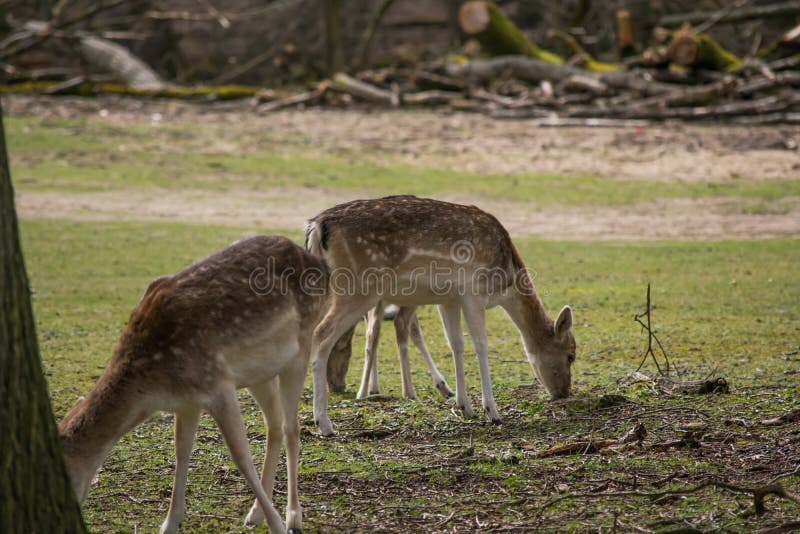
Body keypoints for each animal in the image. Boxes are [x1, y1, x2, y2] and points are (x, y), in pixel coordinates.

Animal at [58, 235, 330, 534]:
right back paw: (255, 513)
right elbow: (181, 451)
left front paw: (277, 525)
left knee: (292, 428)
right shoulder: (186, 401)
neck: (154, 386)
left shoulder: (217, 383)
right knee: (275, 426)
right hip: (260, 370)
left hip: (301, 346)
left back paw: (293, 517)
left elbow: (240, 455)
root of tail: (323, 266)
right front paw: (169, 523)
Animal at [304, 195, 576, 437]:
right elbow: (480, 344)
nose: (564, 392)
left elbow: (456, 344)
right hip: (359, 287)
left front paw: (464, 407)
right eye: (571, 355)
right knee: (320, 334)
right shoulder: (473, 290)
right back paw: (325, 425)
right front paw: (492, 412)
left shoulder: (449, 300)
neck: (504, 283)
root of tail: (317, 226)